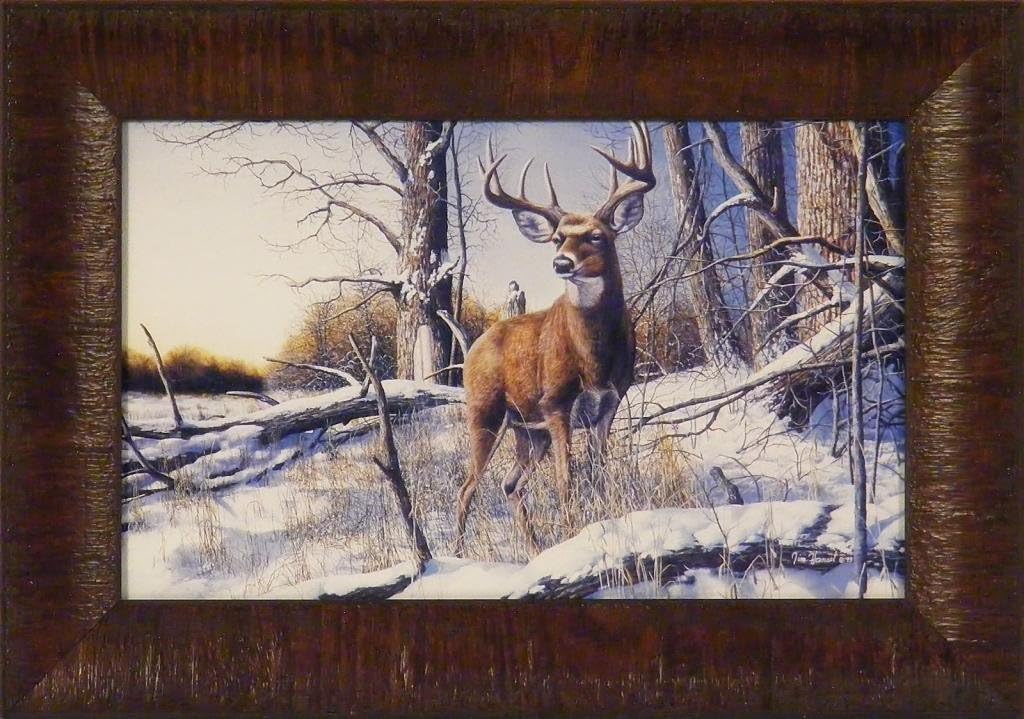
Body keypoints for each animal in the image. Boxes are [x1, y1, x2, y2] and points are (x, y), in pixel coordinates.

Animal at [454, 122, 656, 557]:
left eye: (597, 236)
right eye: (558, 238)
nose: (561, 263)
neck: (593, 361)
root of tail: (475, 344)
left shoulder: (608, 404)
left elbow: (597, 473)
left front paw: (602, 526)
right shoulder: (557, 404)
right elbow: (567, 480)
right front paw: (575, 535)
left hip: (528, 430)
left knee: (510, 484)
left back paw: (535, 549)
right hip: (485, 412)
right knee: (468, 487)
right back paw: (453, 555)